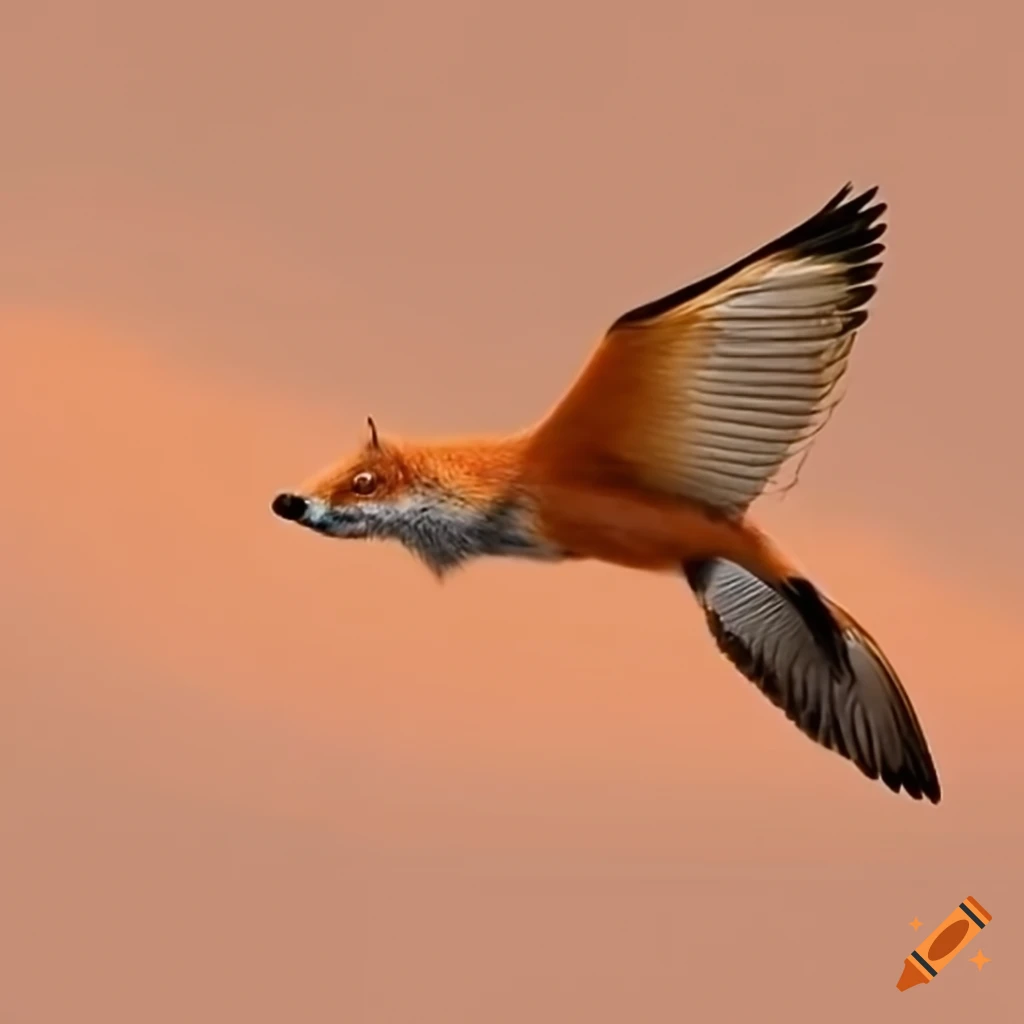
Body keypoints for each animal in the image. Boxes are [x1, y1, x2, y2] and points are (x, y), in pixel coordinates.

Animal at [272, 183, 941, 803]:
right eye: (335, 477)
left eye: (363, 484)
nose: (289, 503)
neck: (511, 490)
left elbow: (634, 318)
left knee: (816, 609)